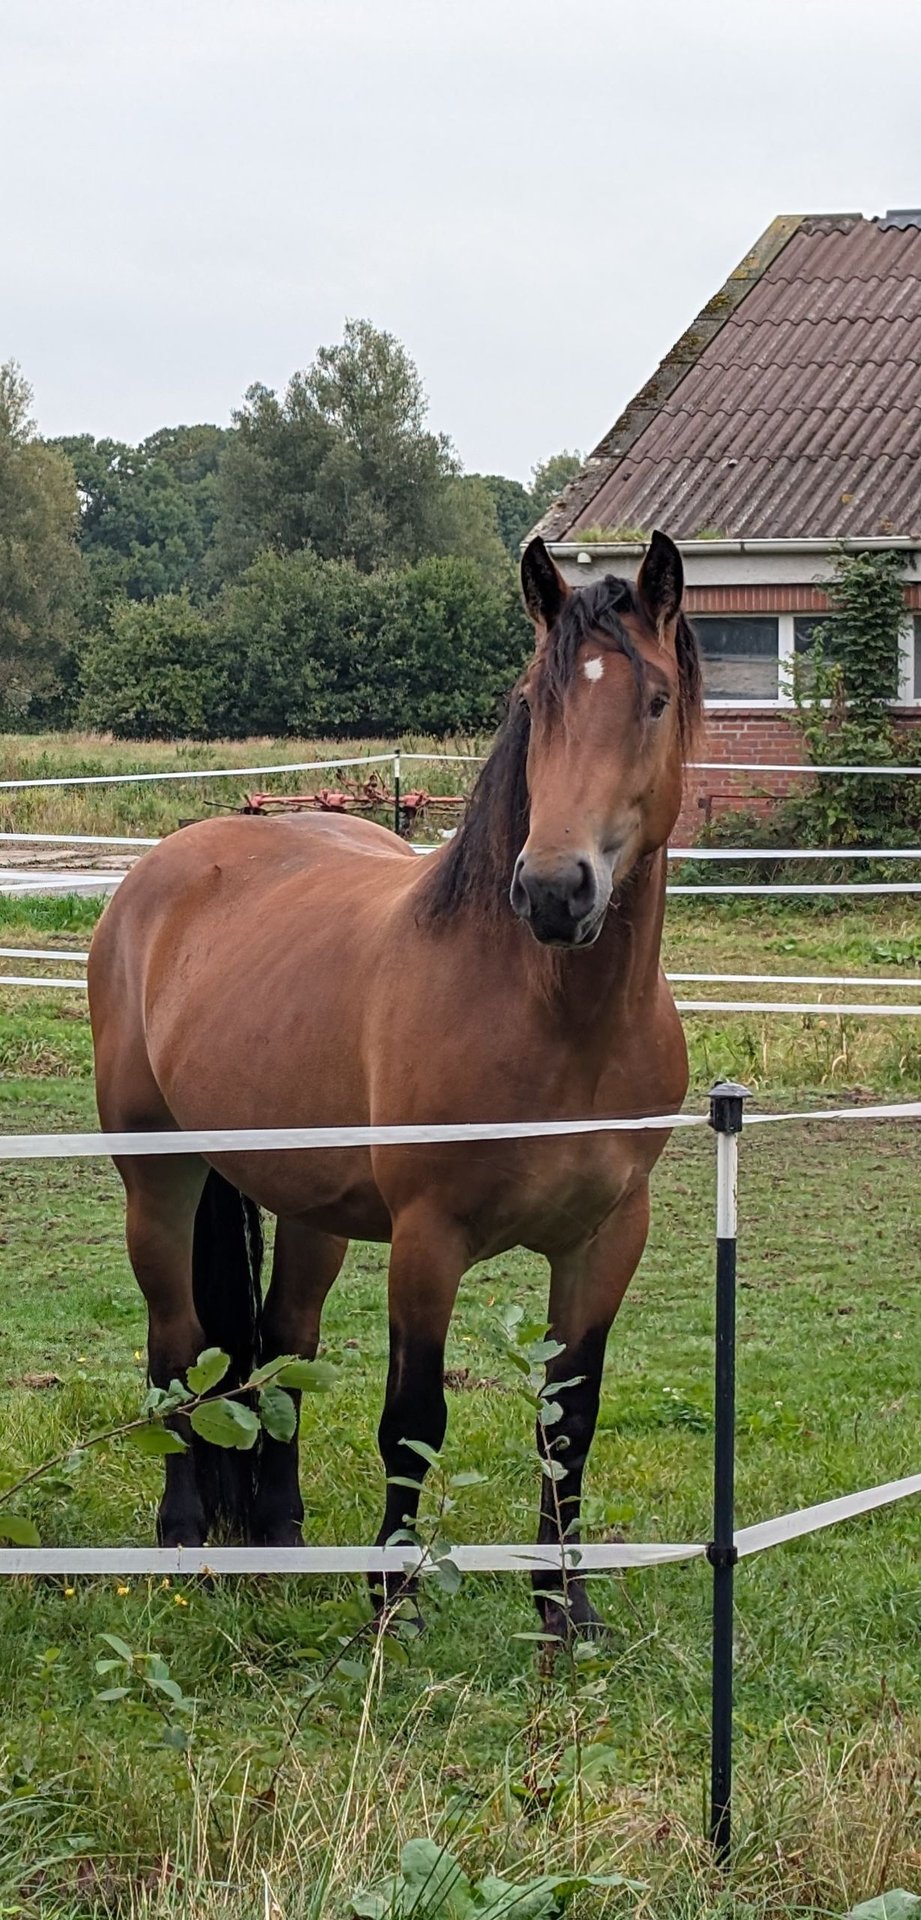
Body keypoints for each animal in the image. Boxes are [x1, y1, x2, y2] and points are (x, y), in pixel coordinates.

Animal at [88, 531, 701, 1639]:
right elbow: (414, 1415)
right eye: (536, 701)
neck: (557, 1020)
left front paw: (566, 1608)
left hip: (308, 1207)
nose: (555, 891)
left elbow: (570, 1417)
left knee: (280, 1345)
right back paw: (185, 1532)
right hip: (159, 1179)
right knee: (178, 1344)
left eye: (655, 700)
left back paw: (279, 1537)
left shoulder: (606, 1240)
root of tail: (167, 866)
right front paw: (395, 1602)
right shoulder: (429, 1239)